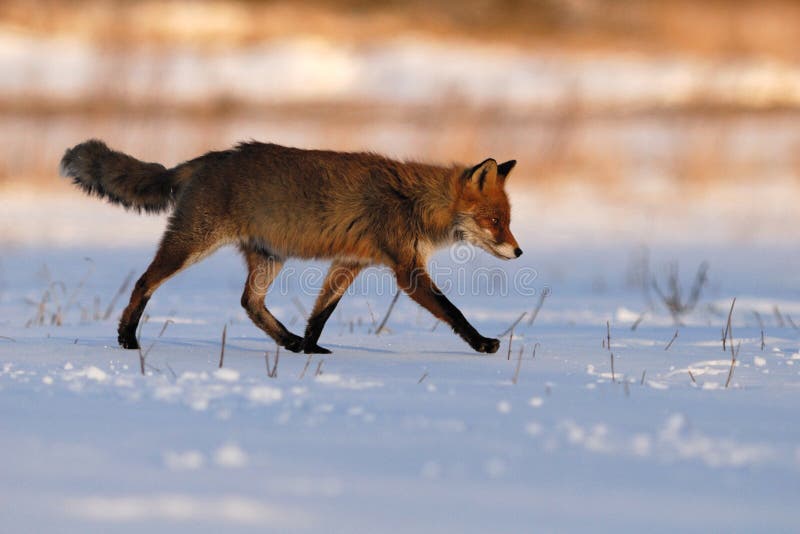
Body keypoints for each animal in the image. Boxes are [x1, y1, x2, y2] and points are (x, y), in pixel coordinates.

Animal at [60, 140, 522, 354]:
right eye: (495, 222)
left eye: (507, 221)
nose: (519, 253)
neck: (415, 202)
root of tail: (212, 157)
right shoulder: (406, 270)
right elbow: (453, 310)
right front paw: (483, 344)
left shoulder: (349, 262)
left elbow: (321, 313)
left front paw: (311, 347)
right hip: (191, 245)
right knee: (142, 283)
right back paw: (126, 338)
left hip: (269, 258)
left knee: (250, 304)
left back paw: (291, 342)